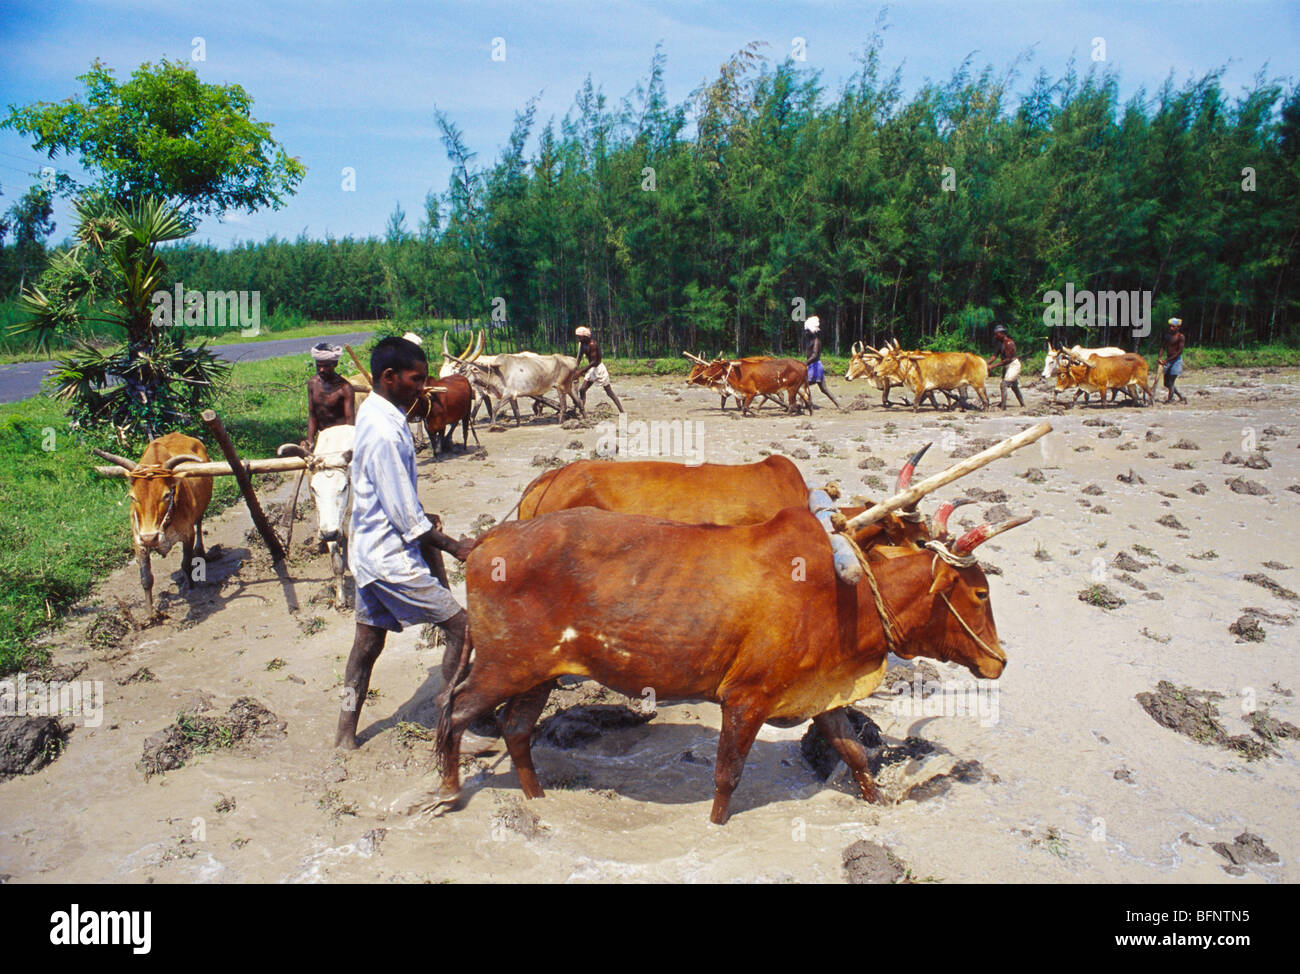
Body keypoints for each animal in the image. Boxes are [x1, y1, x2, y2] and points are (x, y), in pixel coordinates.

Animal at [93, 433, 214, 616]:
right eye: (133, 497)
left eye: (166, 495)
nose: (150, 537)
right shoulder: (138, 541)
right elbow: (146, 578)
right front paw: (150, 614)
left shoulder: (187, 535)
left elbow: (186, 564)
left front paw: (191, 588)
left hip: (202, 508)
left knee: (199, 524)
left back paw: (200, 550)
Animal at [278, 425, 354, 607]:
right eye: (313, 488)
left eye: (344, 487)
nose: (329, 534)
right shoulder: (327, 522)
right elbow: (337, 563)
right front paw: (340, 599)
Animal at [426, 502, 1024, 824]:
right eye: (979, 594)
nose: (998, 662)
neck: (848, 594)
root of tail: (485, 542)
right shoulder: (745, 698)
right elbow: (726, 776)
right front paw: (716, 824)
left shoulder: (820, 695)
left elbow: (855, 755)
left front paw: (880, 802)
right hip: (505, 666)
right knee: (455, 711)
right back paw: (450, 791)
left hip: (539, 675)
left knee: (516, 728)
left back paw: (538, 798)